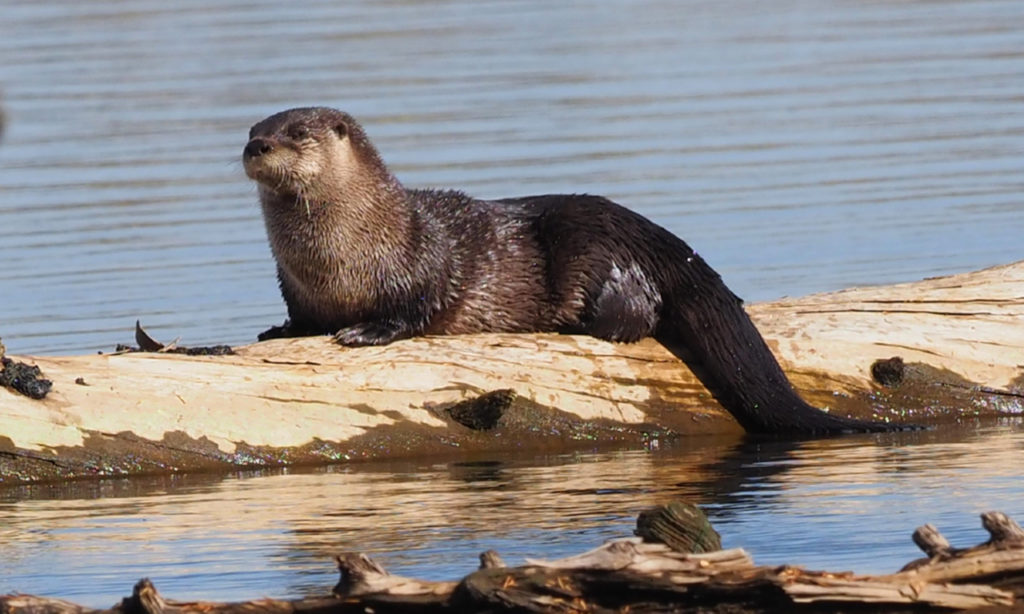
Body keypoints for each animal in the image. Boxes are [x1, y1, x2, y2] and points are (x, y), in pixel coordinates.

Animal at [243, 106, 908, 435]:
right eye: (252, 129)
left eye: (296, 132)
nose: (257, 146)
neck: (339, 255)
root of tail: (652, 233)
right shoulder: (293, 284)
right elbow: (296, 316)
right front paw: (278, 330)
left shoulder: (422, 260)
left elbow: (418, 305)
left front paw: (366, 332)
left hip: (594, 254)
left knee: (635, 317)